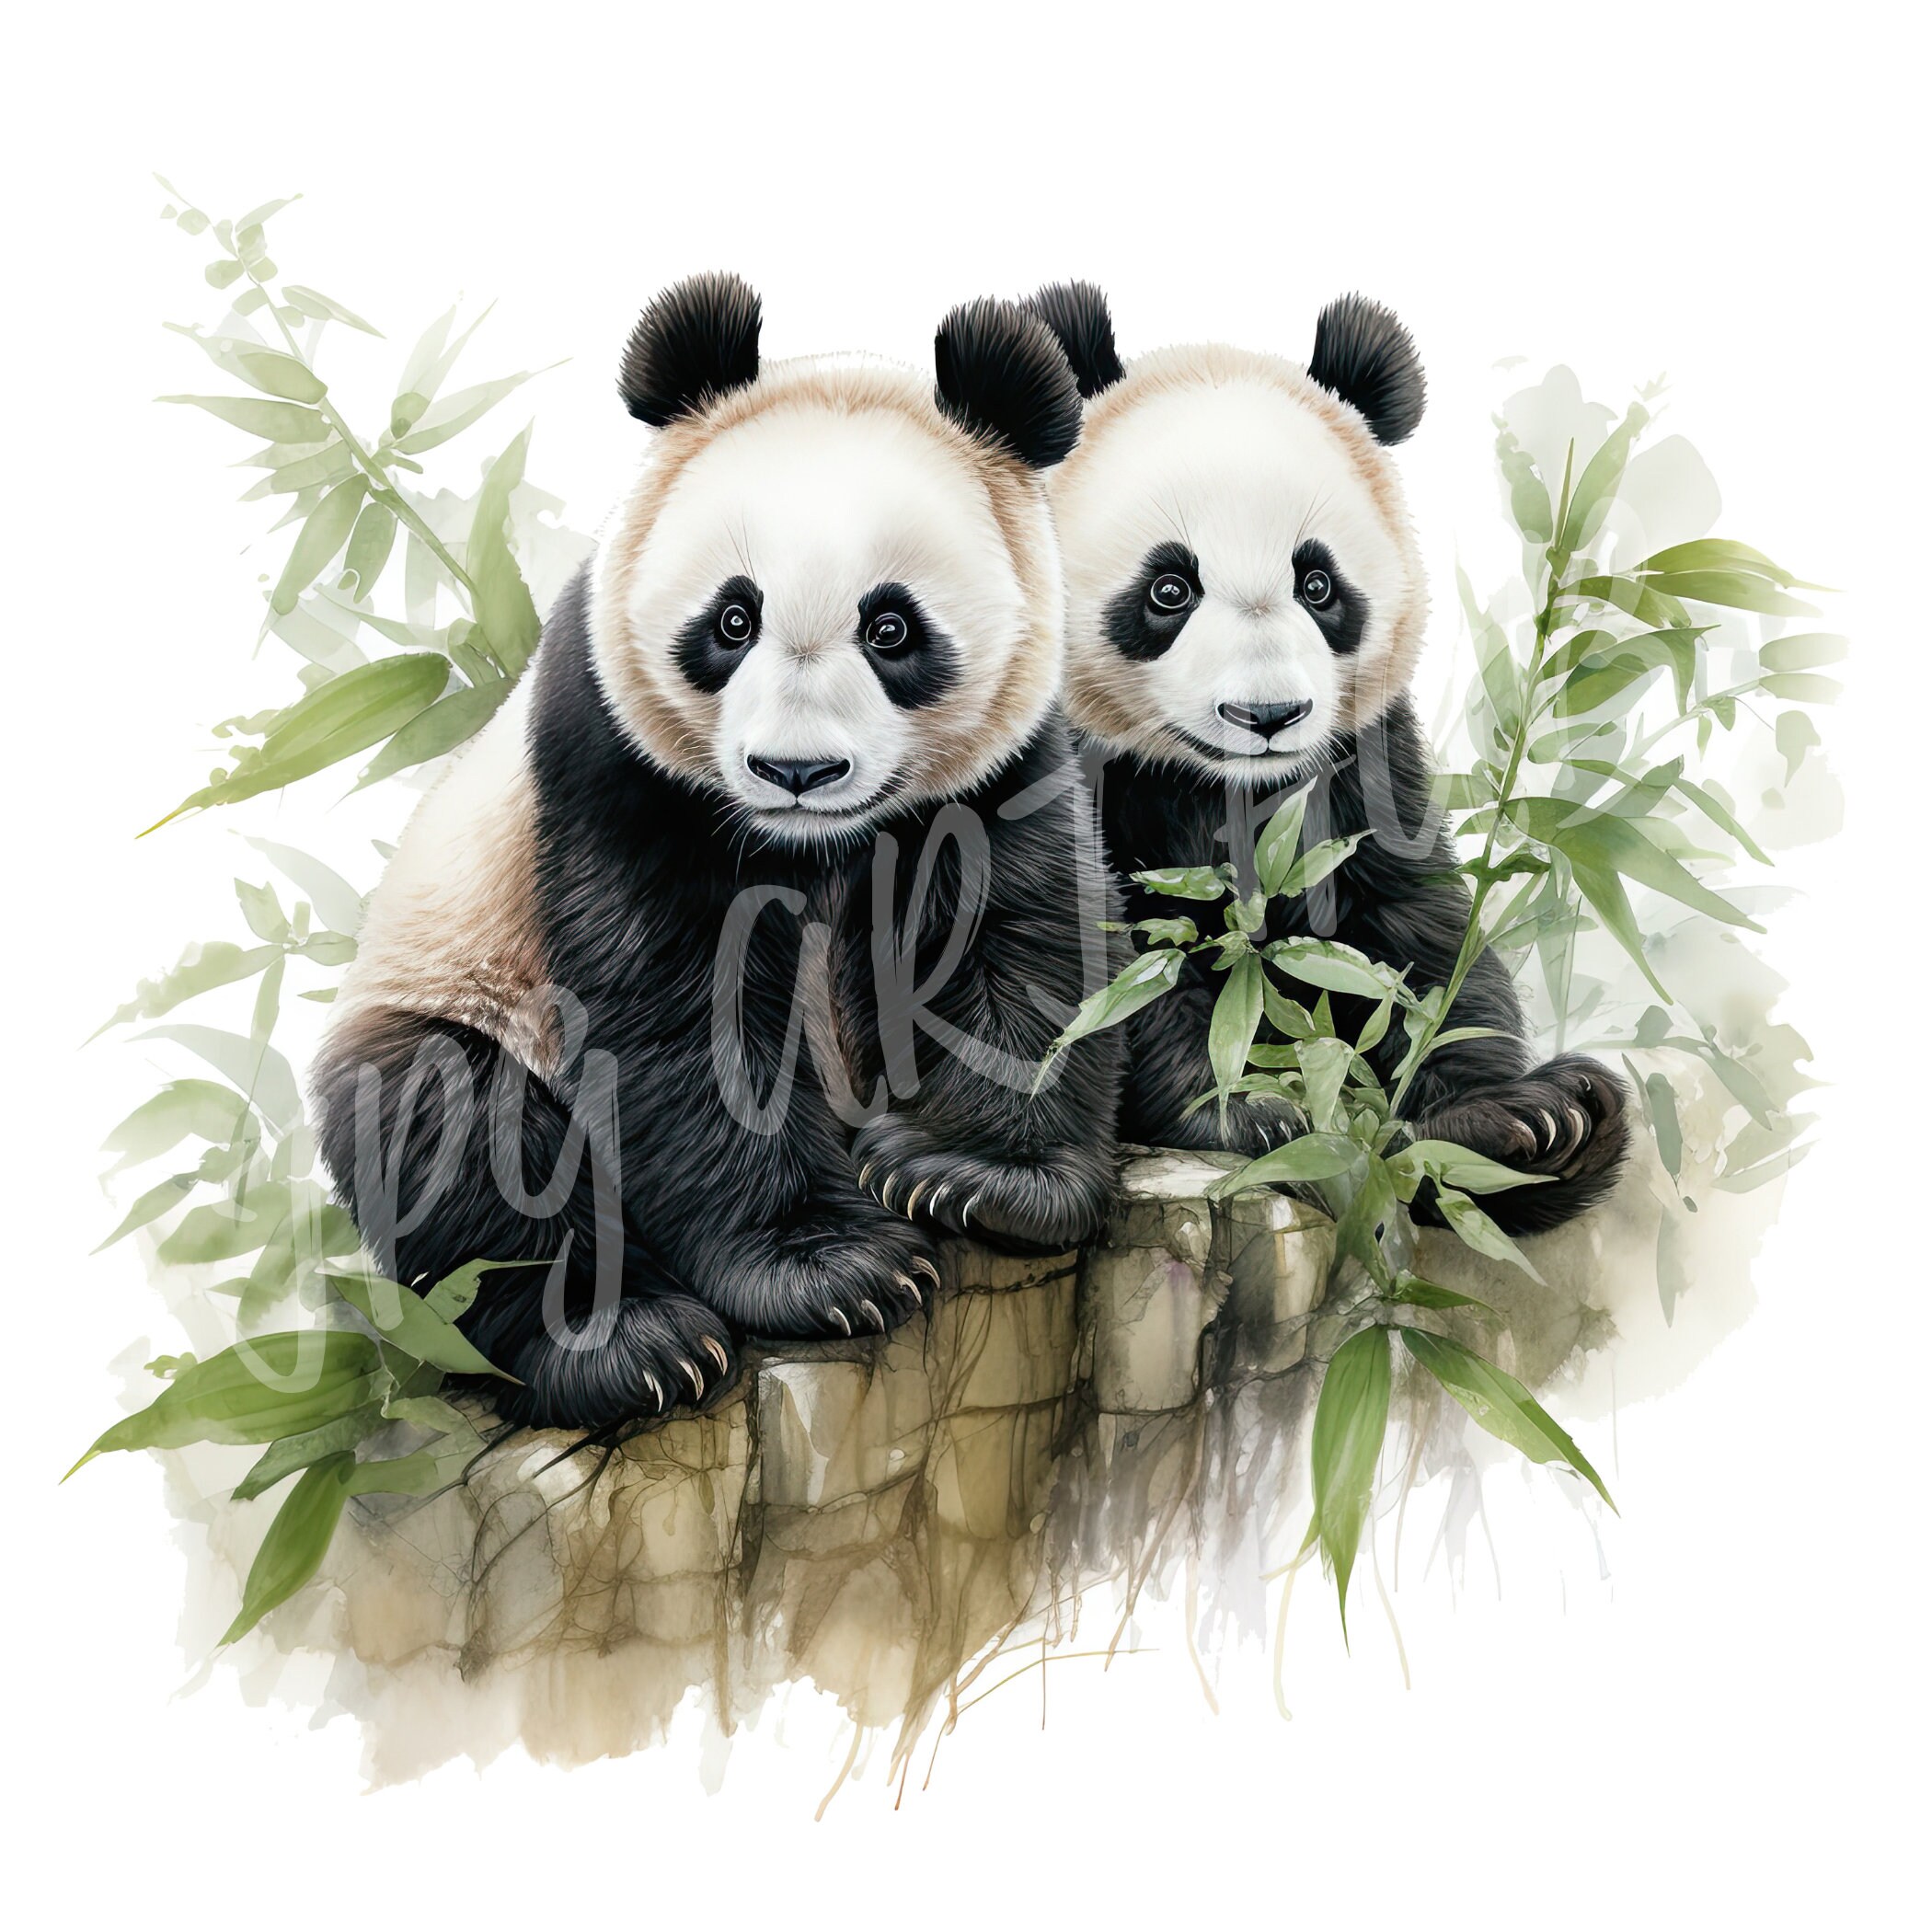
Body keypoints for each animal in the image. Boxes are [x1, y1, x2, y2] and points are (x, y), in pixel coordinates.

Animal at [314, 274, 1122, 1431]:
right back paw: (631, 1346)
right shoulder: (610, 753)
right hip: (461, 985)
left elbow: (1012, 927)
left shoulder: (999, 763)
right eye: (732, 619)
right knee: (451, 1128)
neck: (809, 841)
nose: (796, 770)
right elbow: (688, 1005)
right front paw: (830, 1268)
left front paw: (978, 1179)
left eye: (891, 629)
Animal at [1018, 282, 1625, 1235]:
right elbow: (1108, 960)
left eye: (1318, 584)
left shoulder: (1363, 768)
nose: (1267, 715)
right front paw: (1255, 1107)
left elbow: (1416, 934)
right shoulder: (1069, 774)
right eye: (1169, 588)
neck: (1230, 790)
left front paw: (1529, 1119)